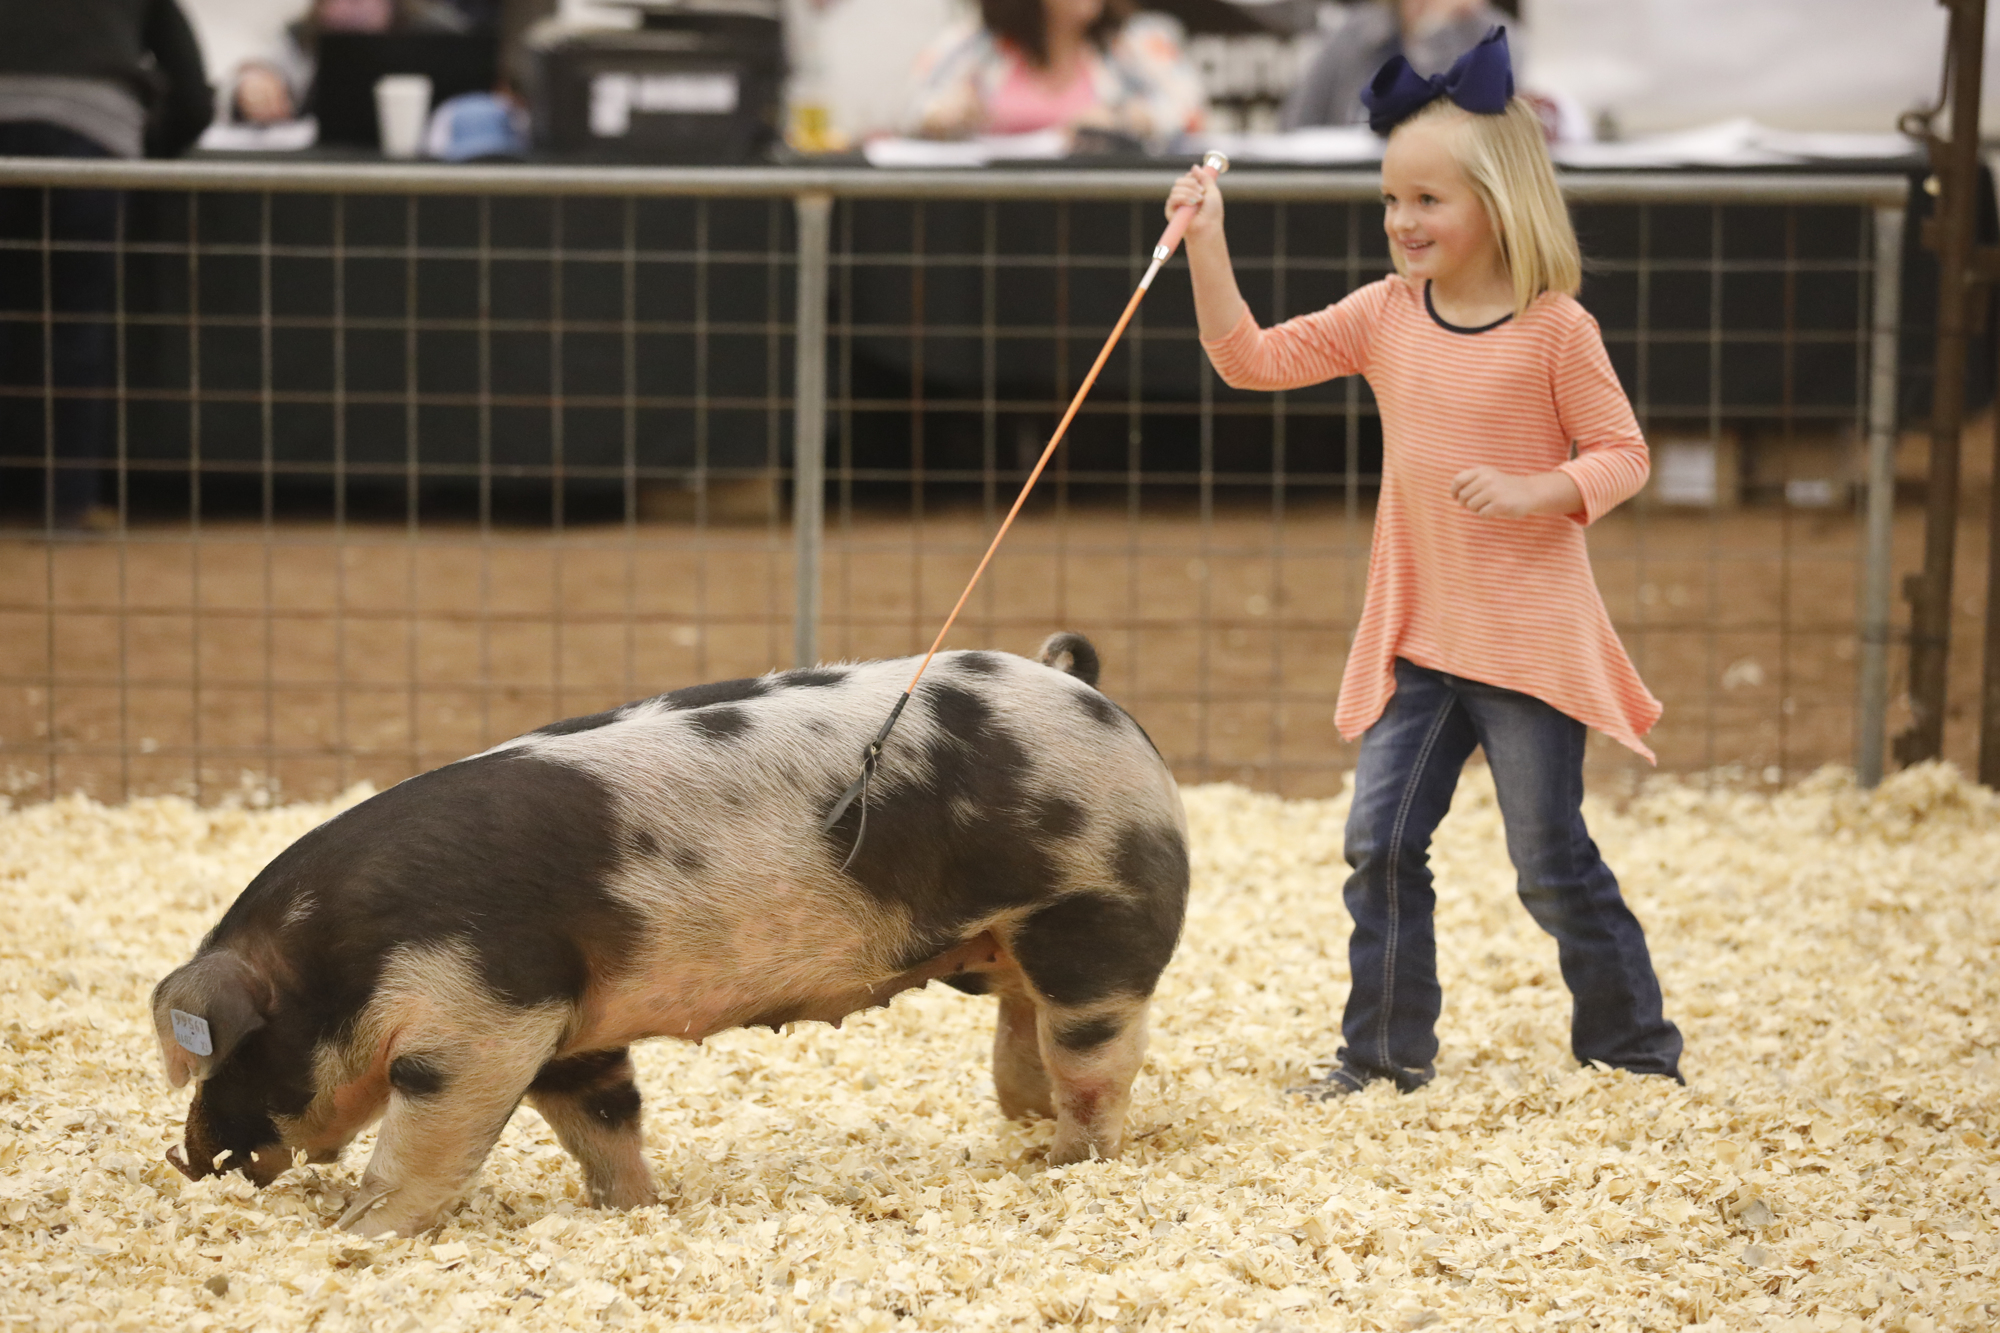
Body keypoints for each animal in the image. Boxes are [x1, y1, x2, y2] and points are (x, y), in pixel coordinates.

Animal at [151, 633, 1188, 1237]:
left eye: (224, 1055)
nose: (185, 1155)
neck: (336, 956)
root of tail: (1089, 694)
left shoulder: (480, 1015)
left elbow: (426, 1140)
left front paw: (356, 1239)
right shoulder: (571, 1027)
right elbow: (604, 1120)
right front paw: (637, 1212)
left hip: (1093, 909)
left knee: (1095, 1050)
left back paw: (1068, 1163)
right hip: (992, 945)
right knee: (1024, 1022)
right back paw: (1022, 1119)